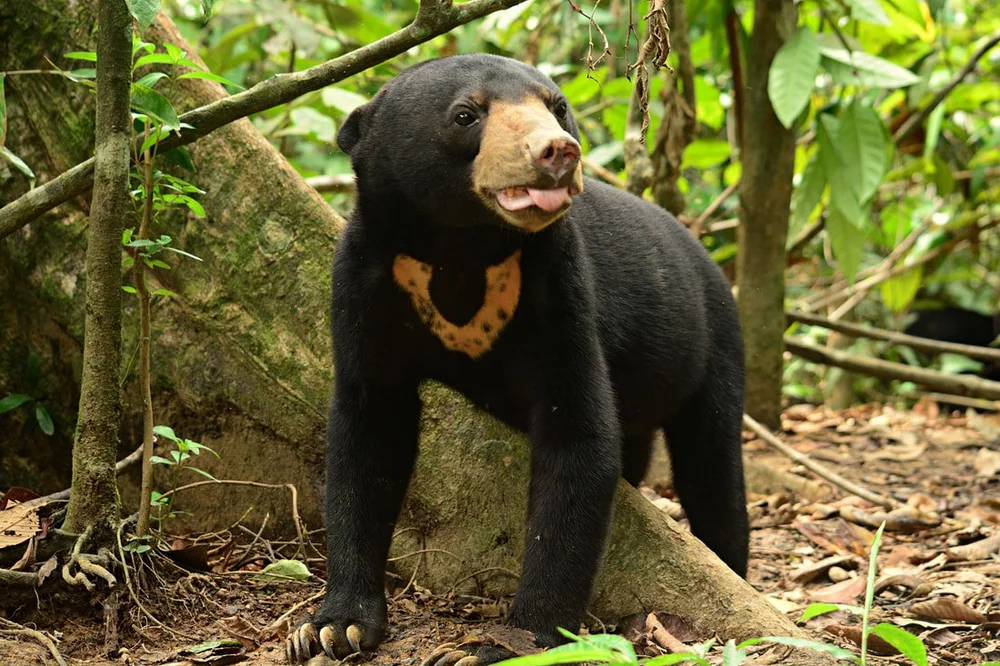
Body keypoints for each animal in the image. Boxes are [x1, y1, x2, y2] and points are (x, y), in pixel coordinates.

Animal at [286, 53, 749, 665]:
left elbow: (576, 442)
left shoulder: (559, 289)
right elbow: (367, 436)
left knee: (712, 467)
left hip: (715, 346)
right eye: (466, 115)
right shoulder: (363, 282)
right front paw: (333, 628)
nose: (558, 151)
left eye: (558, 106)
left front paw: (503, 645)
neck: (462, 247)